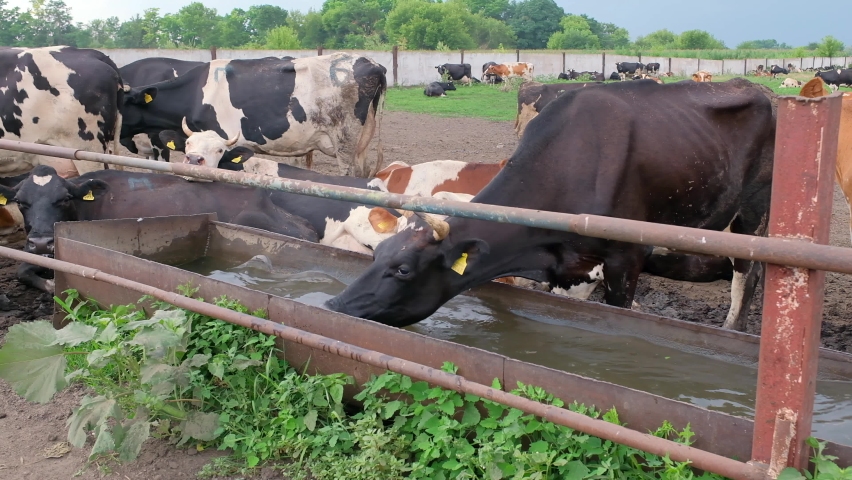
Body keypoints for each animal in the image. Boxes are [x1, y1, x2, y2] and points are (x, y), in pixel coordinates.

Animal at [325, 79, 776, 332]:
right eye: (376, 253)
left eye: (403, 269)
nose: (334, 305)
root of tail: (761, 90)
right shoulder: (569, 267)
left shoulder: (626, 258)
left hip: (752, 214)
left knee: (747, 275)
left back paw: (734, 328)